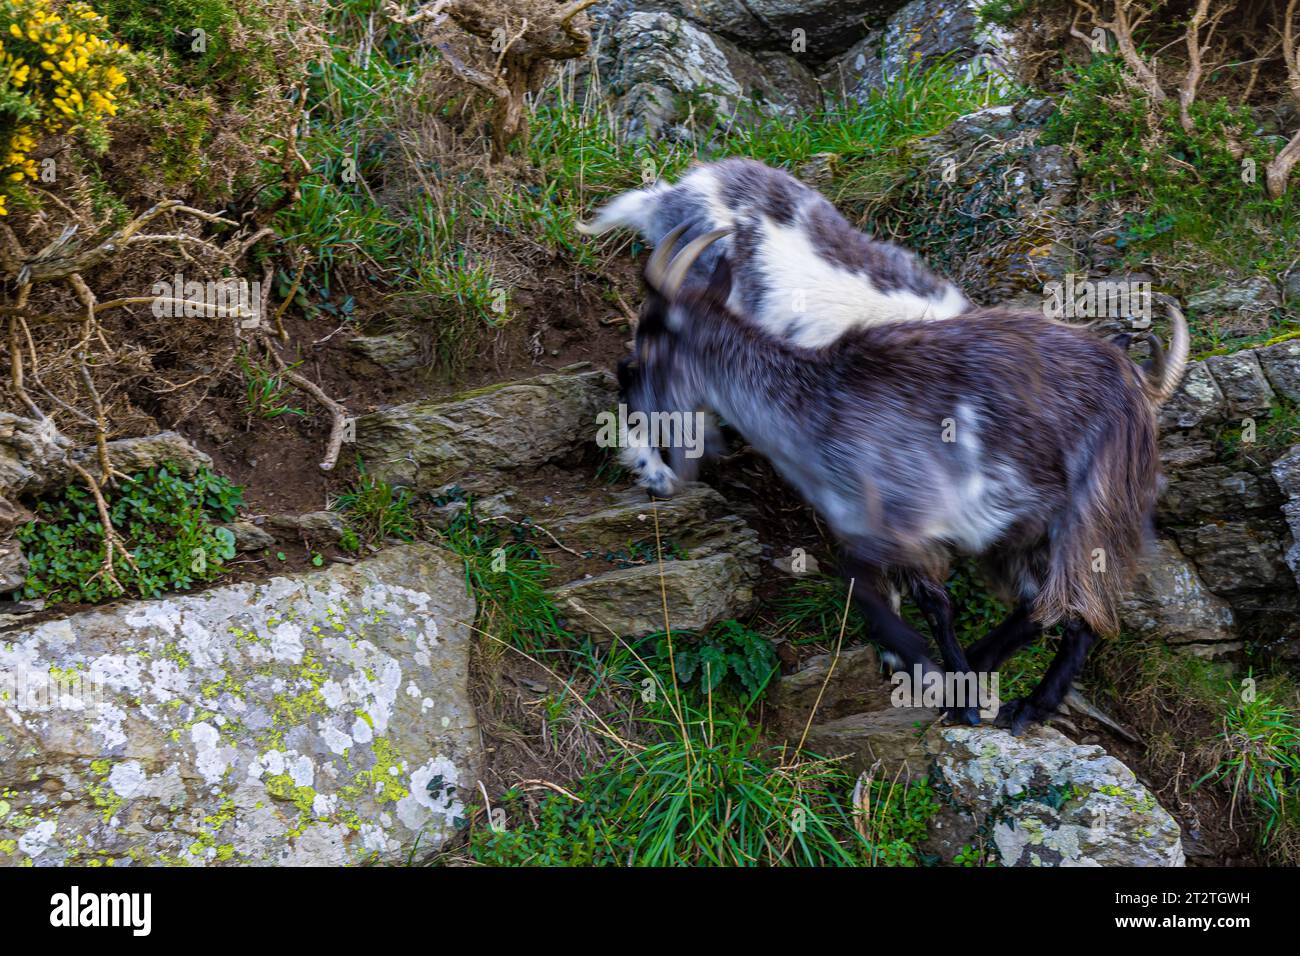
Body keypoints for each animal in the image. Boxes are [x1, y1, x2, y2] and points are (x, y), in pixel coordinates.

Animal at [624, 230, 1189, 734]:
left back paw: (1030, 706)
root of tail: (1140, 391)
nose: (625, 385)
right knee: (1038, 606)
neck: (816, 405)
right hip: (1022, 531)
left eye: (652, 330)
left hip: (1090, 507)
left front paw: (937, 677)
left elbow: (881, 589)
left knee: (1081, 609)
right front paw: (949, 680)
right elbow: (921, 599)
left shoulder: (903, 516)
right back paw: (986, 663)